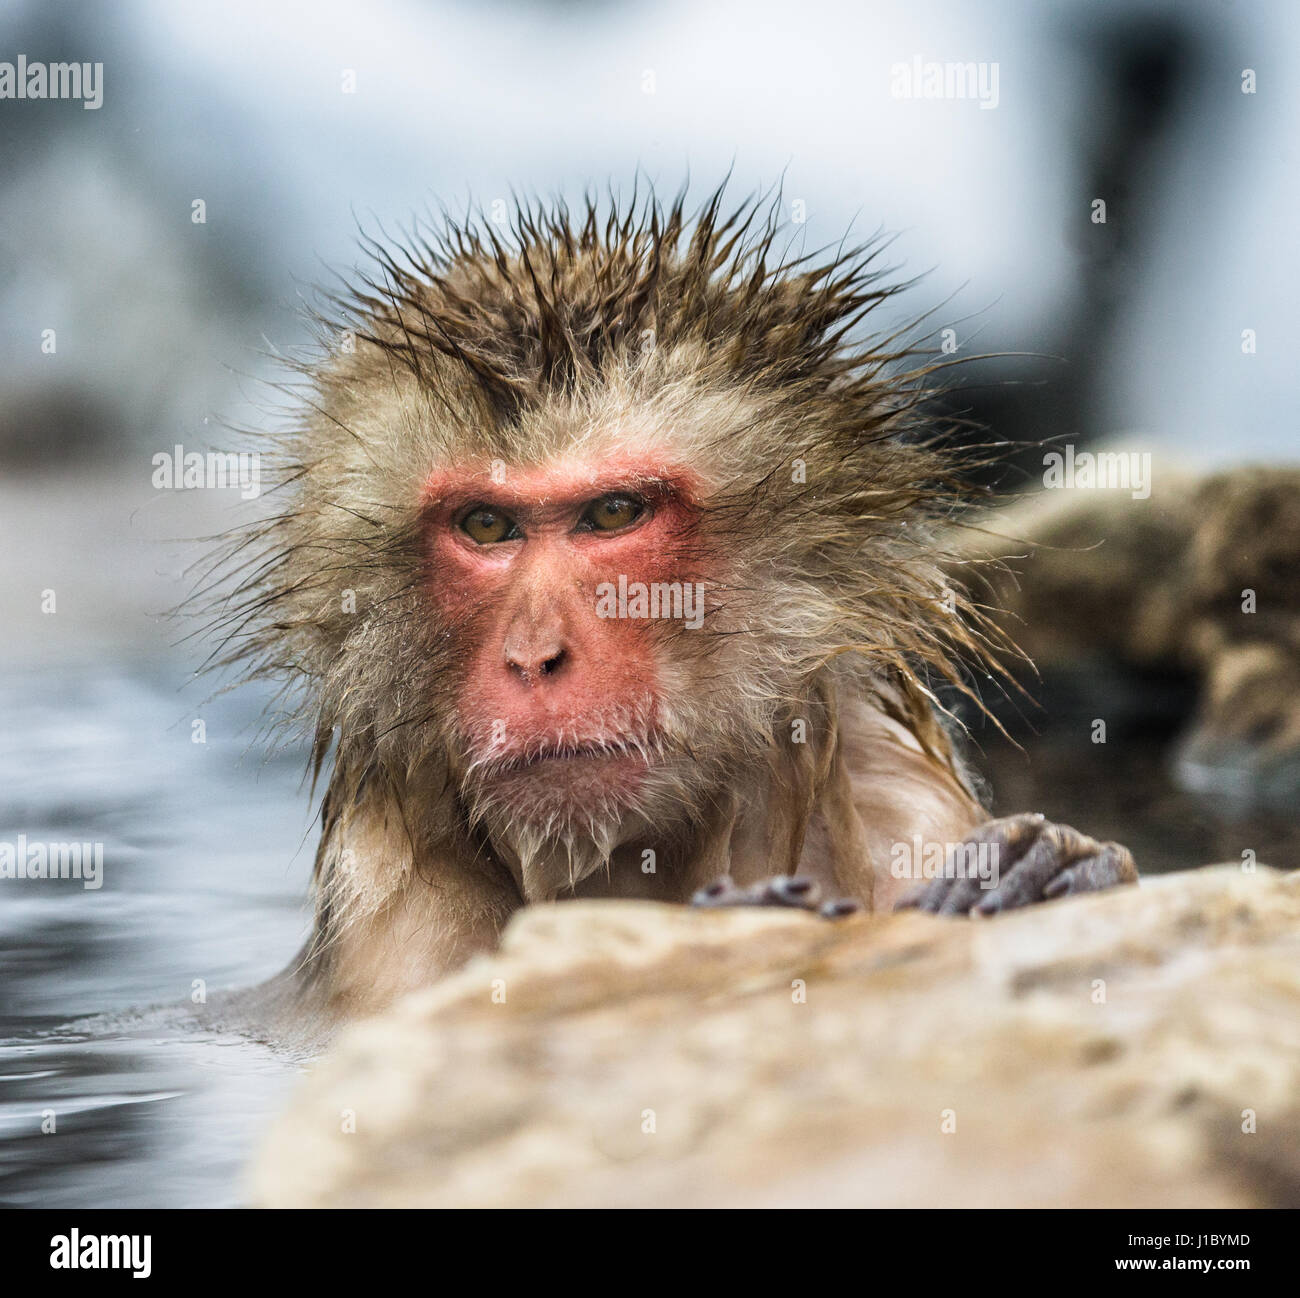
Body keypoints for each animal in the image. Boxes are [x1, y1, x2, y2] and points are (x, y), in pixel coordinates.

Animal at [205, 189, 1137, 1026]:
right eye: (486, 525)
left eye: (615, 513)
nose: (534, 656)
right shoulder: (391, 910)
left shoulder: (902, 802)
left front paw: (1045, 869)